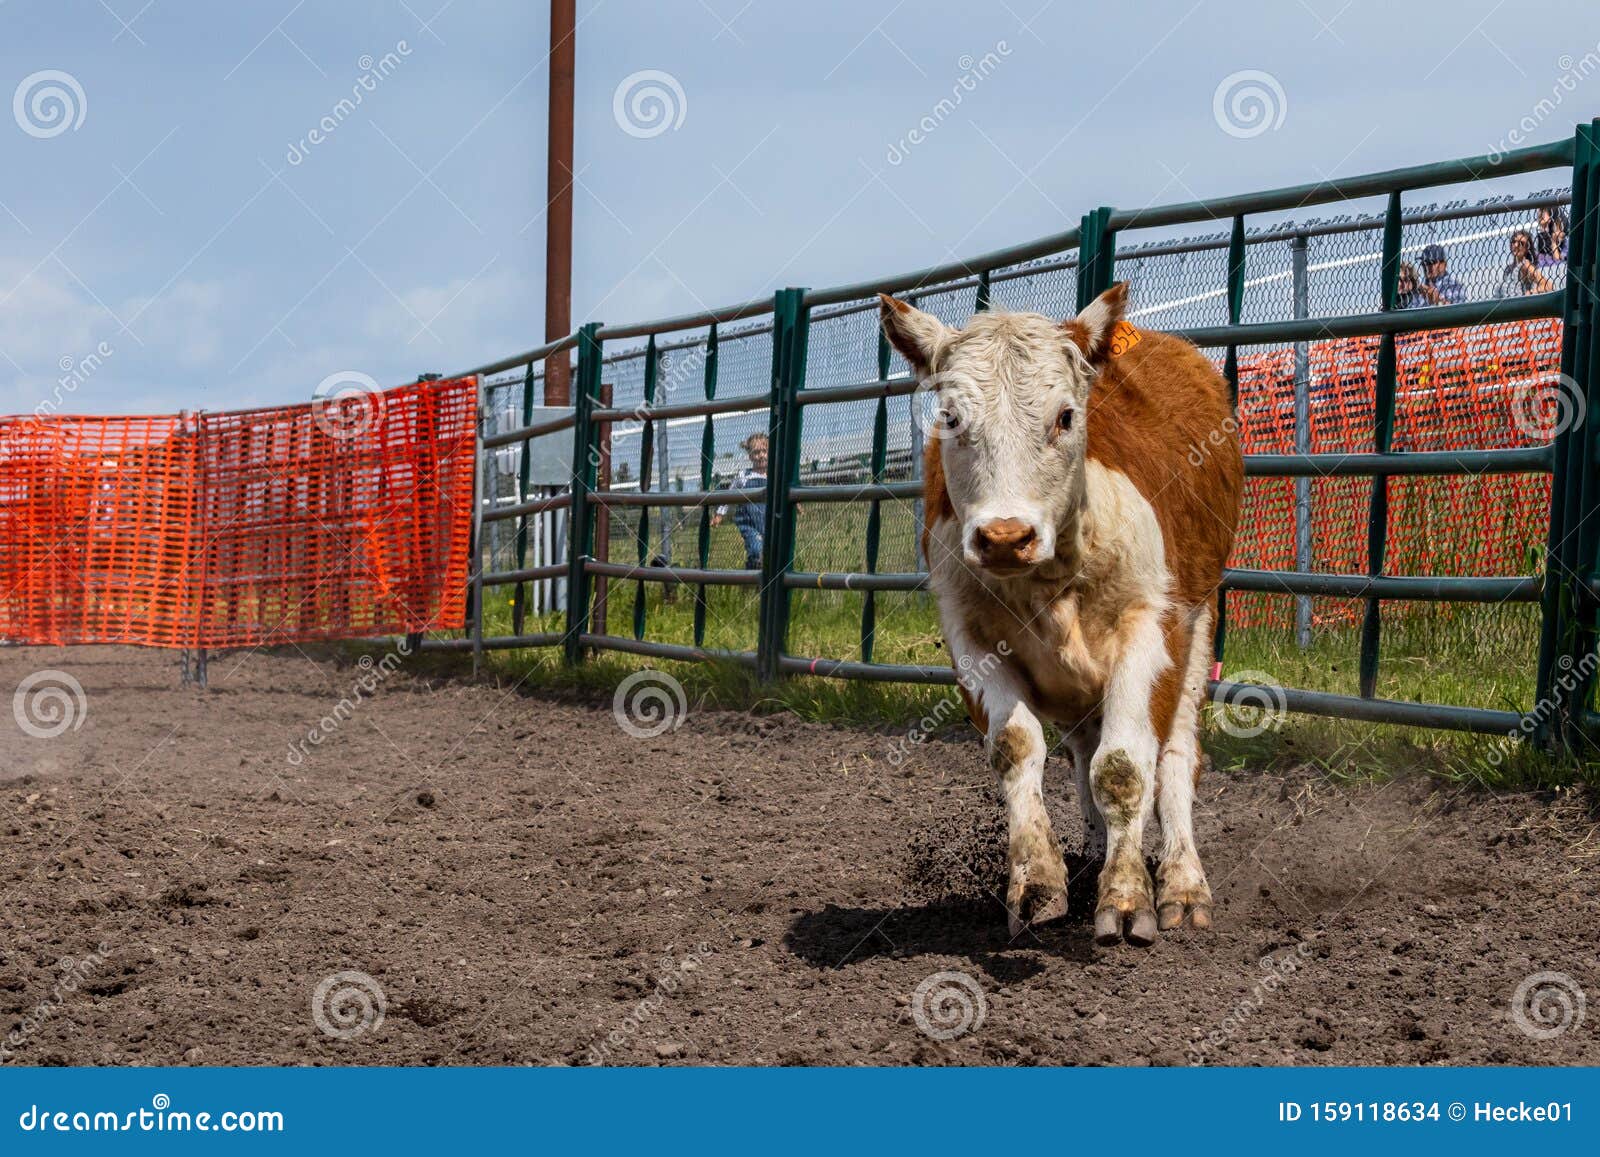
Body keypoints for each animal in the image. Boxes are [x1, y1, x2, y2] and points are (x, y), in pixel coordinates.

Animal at [879, 282, 1243, 947]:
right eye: (951, 417)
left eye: (1066, 415)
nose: (1004, 536)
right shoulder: (967, 634)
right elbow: (1018, 748)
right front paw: (1041, 882)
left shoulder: (1152, 624)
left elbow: (1125, 767)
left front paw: (1127, 898)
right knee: (1082, 752)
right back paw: (1094, 860)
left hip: (1199, 624)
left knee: (1176, 758)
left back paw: (1182, 884)